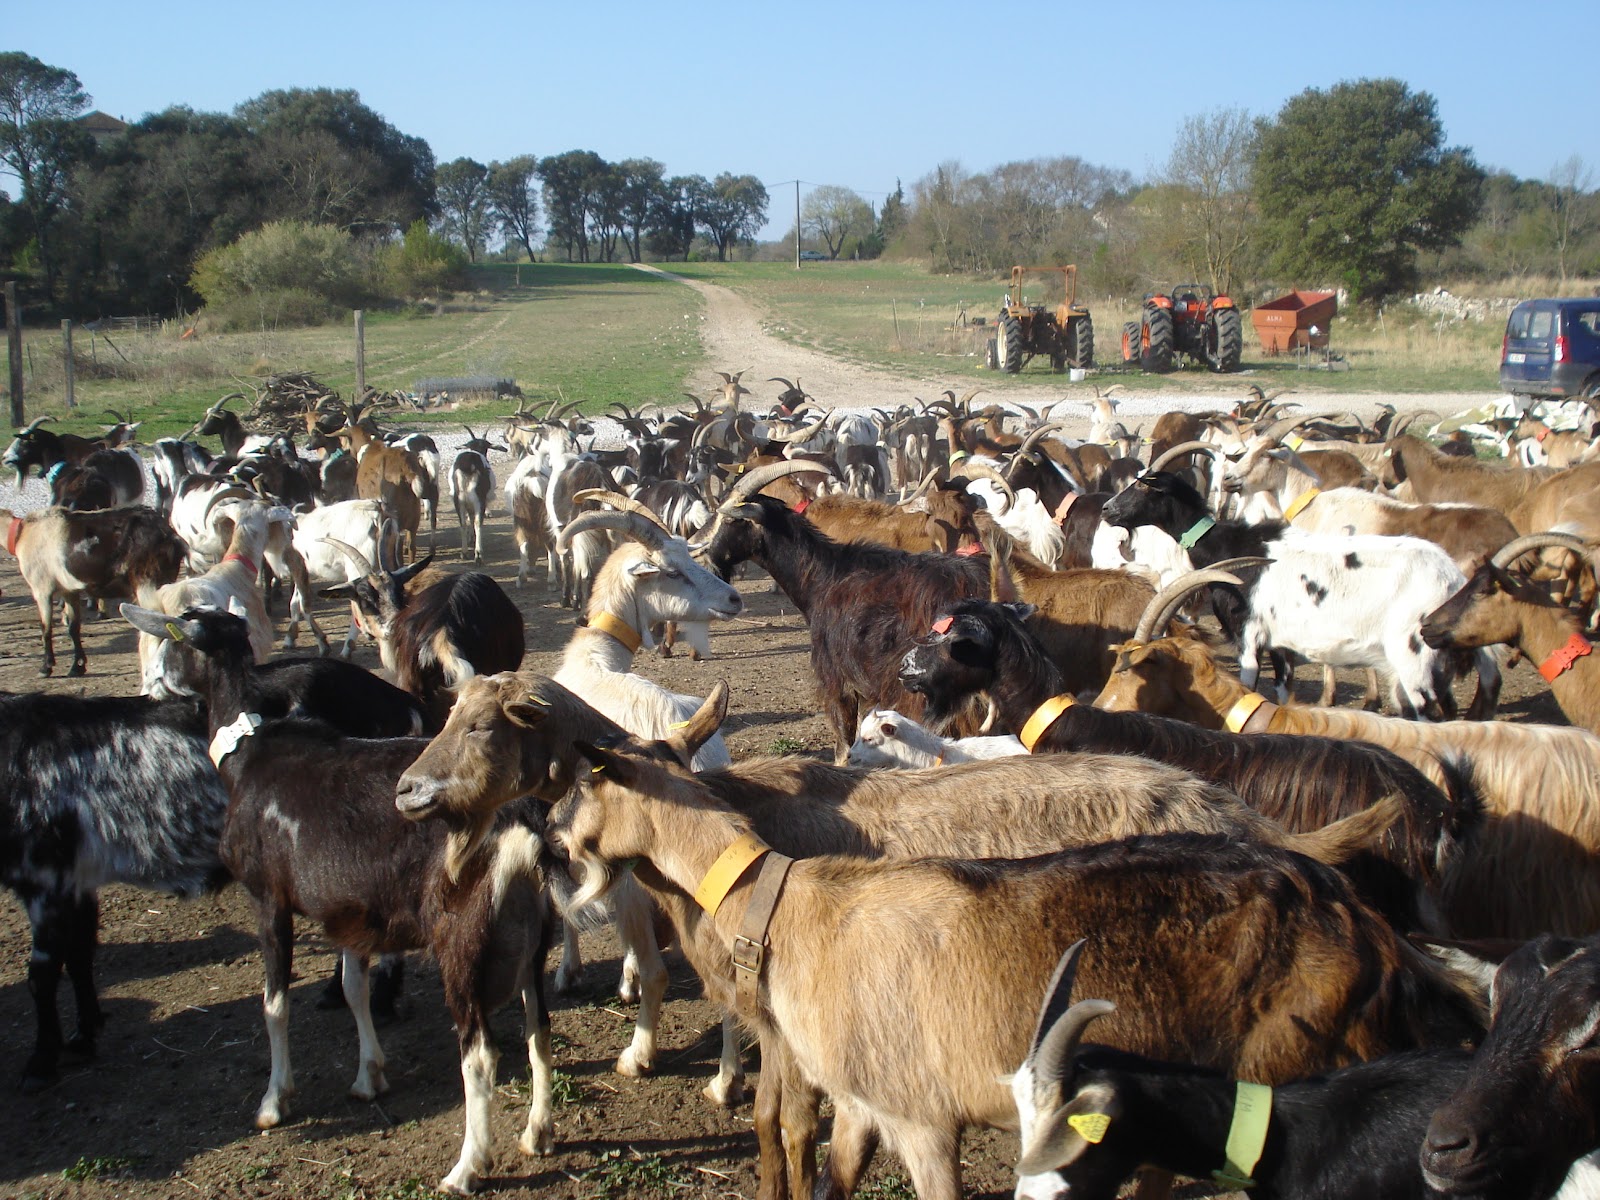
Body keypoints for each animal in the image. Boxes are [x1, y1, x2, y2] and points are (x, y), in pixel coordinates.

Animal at [0, 504, 185, 676]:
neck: (20, 533)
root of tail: (170, 536)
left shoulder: (42, 589)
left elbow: (45, 628)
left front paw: (46, 667)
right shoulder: (69, 591)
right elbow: (73, 628)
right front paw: (77, 667)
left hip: (148, 584)